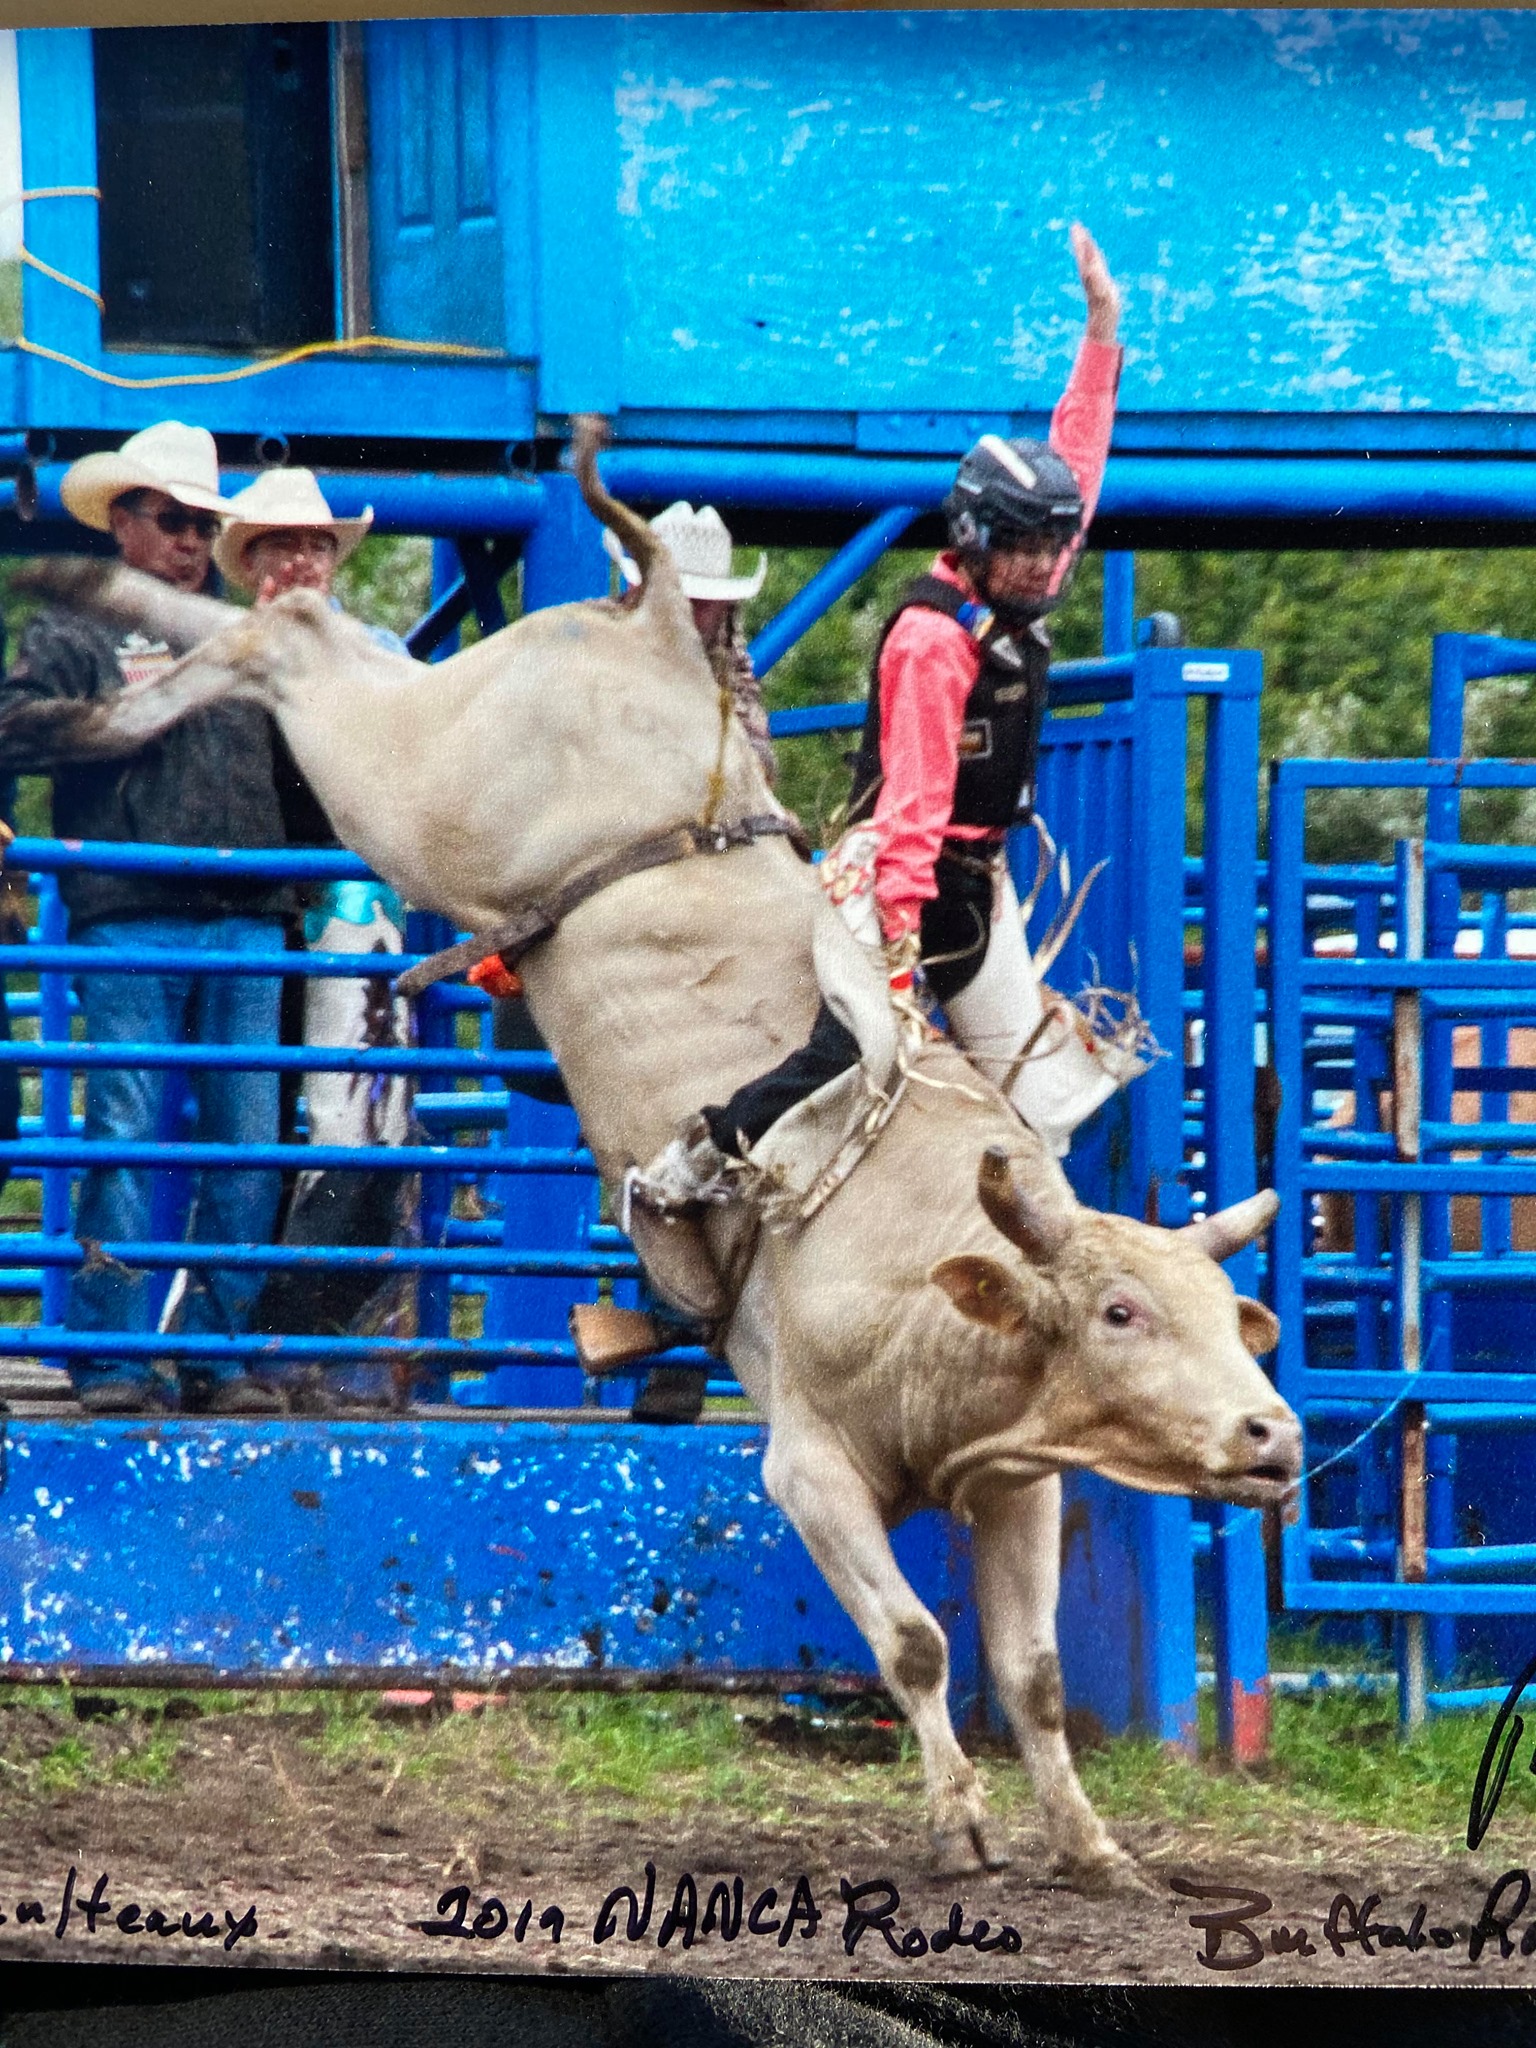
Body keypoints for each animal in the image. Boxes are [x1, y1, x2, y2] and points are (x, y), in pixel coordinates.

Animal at [0, 426, 1301, 1890]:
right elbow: (916, 1642)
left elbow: (1030, 1672)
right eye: (1122, 1311)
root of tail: (655, 624)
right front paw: (962, 1827)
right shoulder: (808, 1470)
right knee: (291, 635)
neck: (929, 1269)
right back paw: (97, 682)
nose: (1276, 1432)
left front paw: (1091, 1847)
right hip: (414, 780)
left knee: (314, 638)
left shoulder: (1022, 1476)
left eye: (1229, 1315)